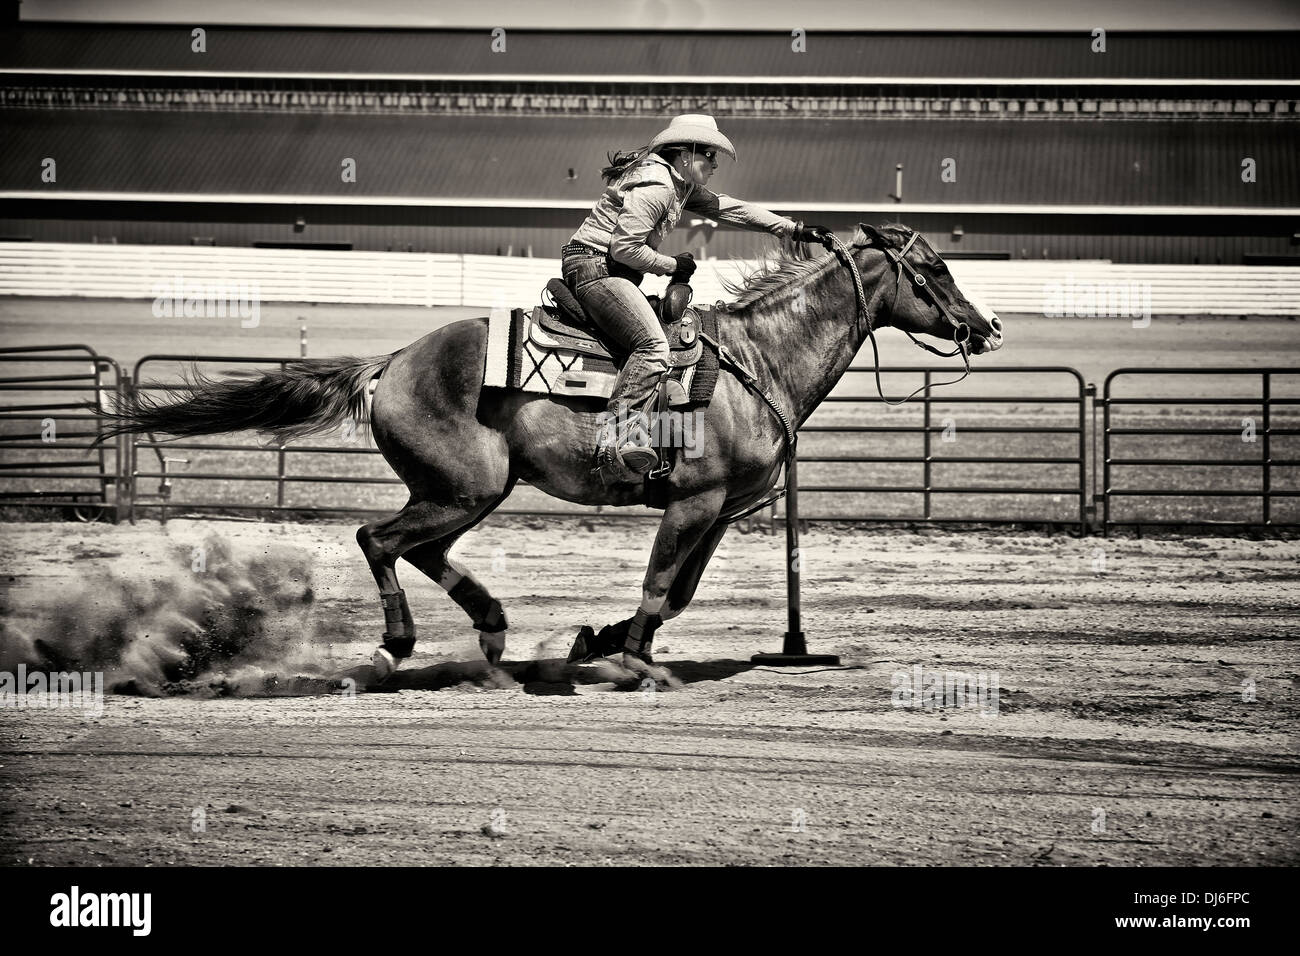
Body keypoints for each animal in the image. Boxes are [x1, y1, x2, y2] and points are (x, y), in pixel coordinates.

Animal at [98, 223, 1003, 679]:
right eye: (933, 267)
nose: (986, 326)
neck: (755, 360)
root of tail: (393, 361)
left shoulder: (721, 510)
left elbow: (678, 593)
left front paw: (598, 641)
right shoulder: (693, 501)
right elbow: (659, 583)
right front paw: (630, 660)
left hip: (472, 491)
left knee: (420, 550)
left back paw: (495, 631)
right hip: (462, 487)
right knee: (377, 539)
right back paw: (400, 644)